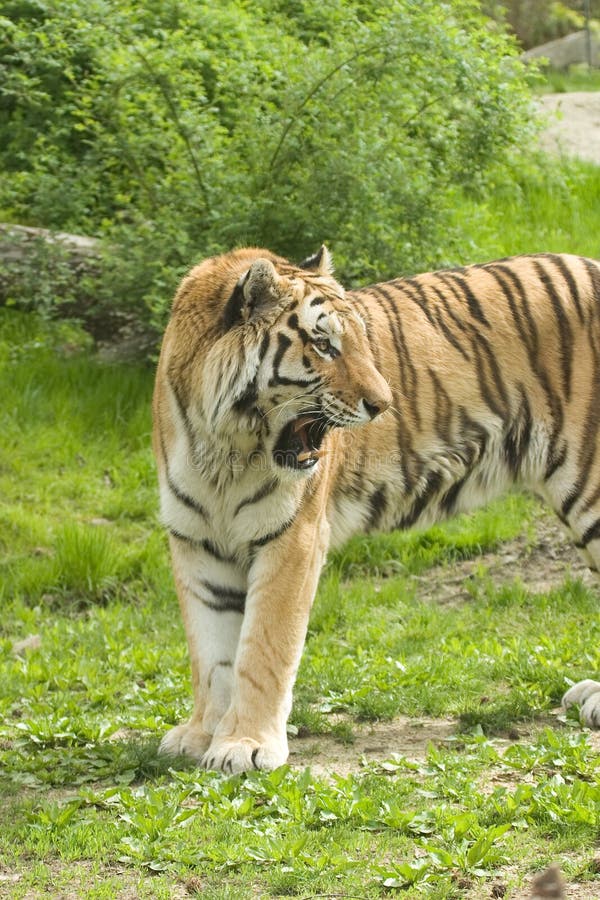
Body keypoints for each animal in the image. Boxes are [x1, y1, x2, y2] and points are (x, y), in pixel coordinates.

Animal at [153, 244, 600, 773]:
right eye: (324, 346)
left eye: (361, 341)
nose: (385, 404)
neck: (223, 448)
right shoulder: (195, 541)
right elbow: (210, 654)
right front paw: (203, 735)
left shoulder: (294, 538)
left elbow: (262, 648)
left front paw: (245, 745)